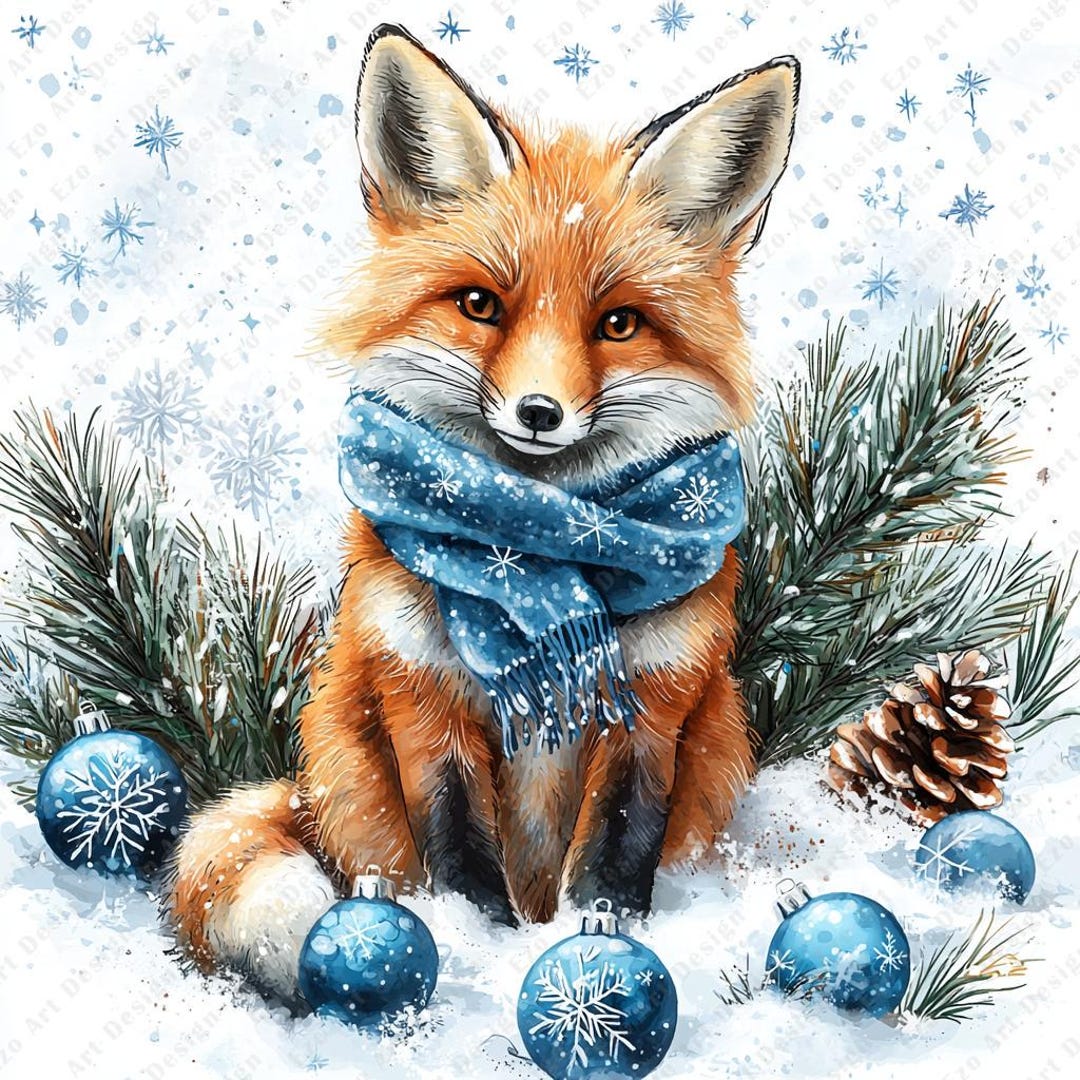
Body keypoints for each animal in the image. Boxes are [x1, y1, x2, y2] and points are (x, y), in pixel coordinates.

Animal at [167, 23, 800, 1002]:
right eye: (479, 305)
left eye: (619, 324)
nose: (540, 413)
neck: (535, 560)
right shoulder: (423, 701)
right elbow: (461, 861)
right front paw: (482, 955)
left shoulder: (652, 711)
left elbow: (612, 867)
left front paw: (592, 948)